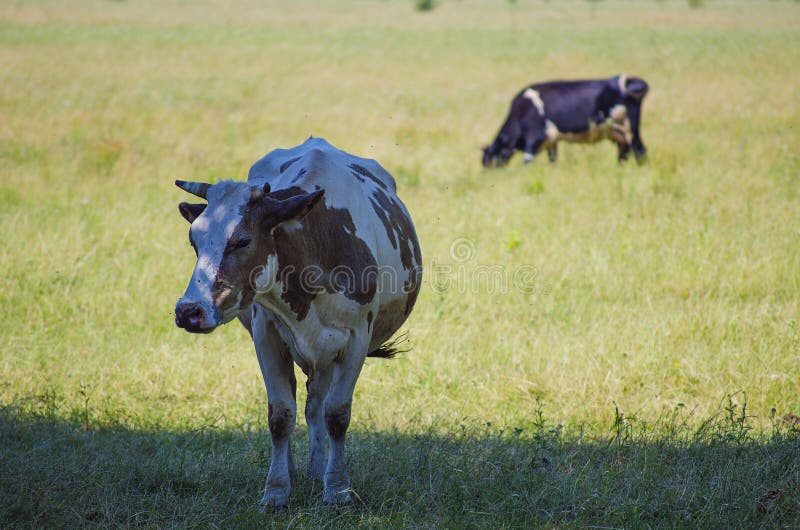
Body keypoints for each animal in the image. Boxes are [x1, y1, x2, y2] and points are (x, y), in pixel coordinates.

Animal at [174, 137, 422, 509]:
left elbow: (336, 414)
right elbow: (280, 414)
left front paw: (337, 489)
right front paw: (276, 489)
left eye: (242, 240)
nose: (189, 311)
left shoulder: (355, 339)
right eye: (194, 241)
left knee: (317, 405)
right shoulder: (266, 335)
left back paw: (318, 470)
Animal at [482, 74, 648, 167]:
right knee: (624, 152)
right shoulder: (551, 141)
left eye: (490, 161)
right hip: (618, 132)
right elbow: (553, 160)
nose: (488, 177)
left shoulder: (535, 138)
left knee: (640, 150)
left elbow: (527, 162)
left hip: (630, 127)